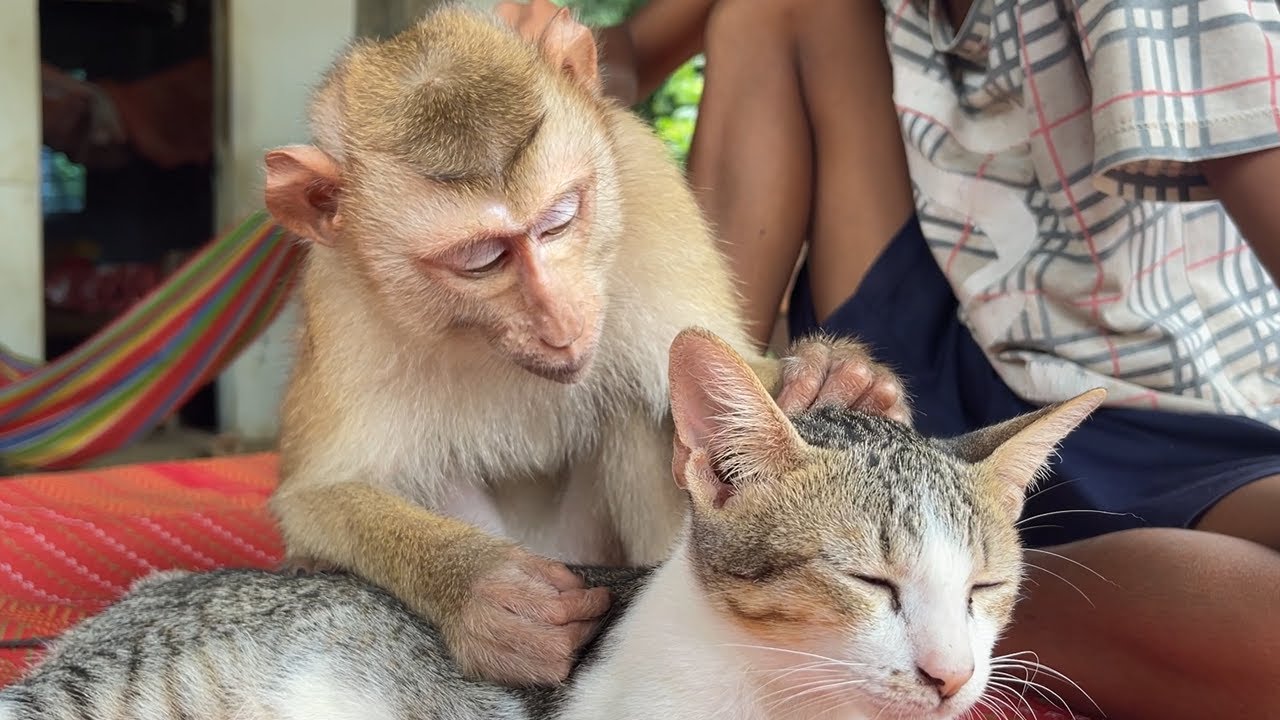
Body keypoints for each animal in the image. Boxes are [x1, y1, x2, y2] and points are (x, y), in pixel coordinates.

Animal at [261, 3, 911, 688]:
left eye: (560, 218)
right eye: (480, 259)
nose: (560, 320)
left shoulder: (647, 191)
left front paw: (840, 377)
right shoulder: (343, 300)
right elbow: (313, 499)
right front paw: (483, 591)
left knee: (636, 405)